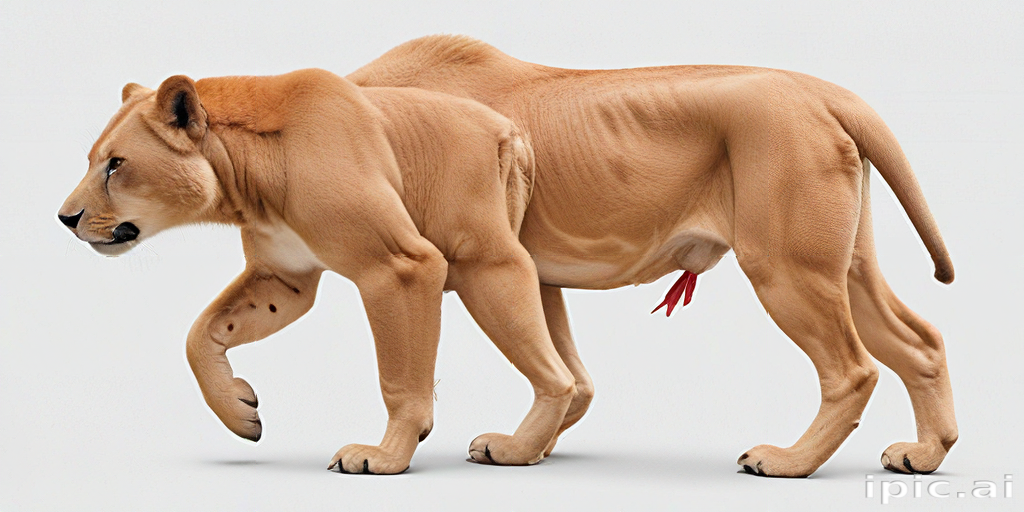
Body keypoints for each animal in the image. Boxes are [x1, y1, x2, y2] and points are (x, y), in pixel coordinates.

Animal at [342, 35, 959, 477]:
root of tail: (830, 94)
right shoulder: (533, 273)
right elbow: (570, 373)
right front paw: (526, 447)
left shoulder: (476, 261)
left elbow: (429, 372)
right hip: (845, 266)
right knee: (920, 341)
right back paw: (924, 454)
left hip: (785, 268)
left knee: (853, 370)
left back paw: (787, 462)